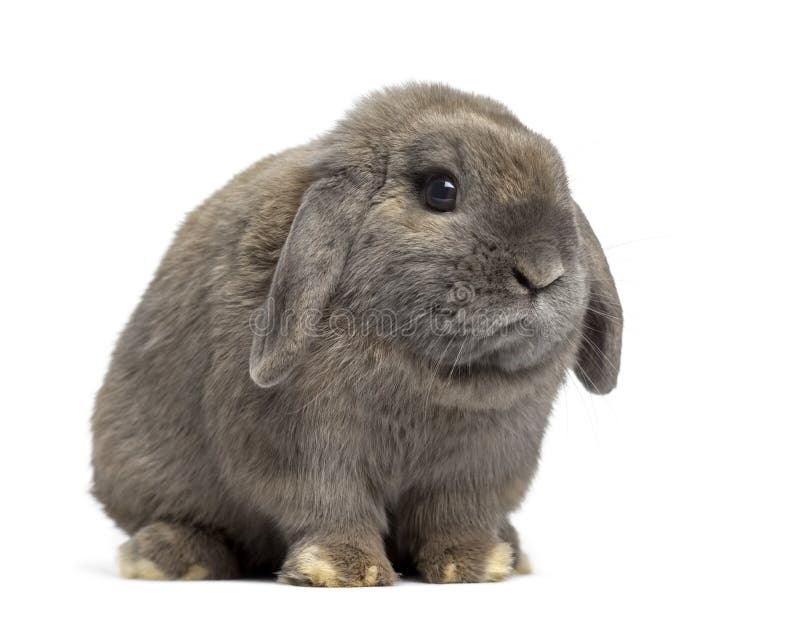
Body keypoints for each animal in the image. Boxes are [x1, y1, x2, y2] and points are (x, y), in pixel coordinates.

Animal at [91, 82, 622, 586]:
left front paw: (476, 564)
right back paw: (169, 558)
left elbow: (457, 516)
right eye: (441, 189)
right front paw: (344, 571)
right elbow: (330, 504)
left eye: (563, 190)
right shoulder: (309, 448)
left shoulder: (480, 464)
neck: (436, 373)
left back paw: (511, 548)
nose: (543, 270)